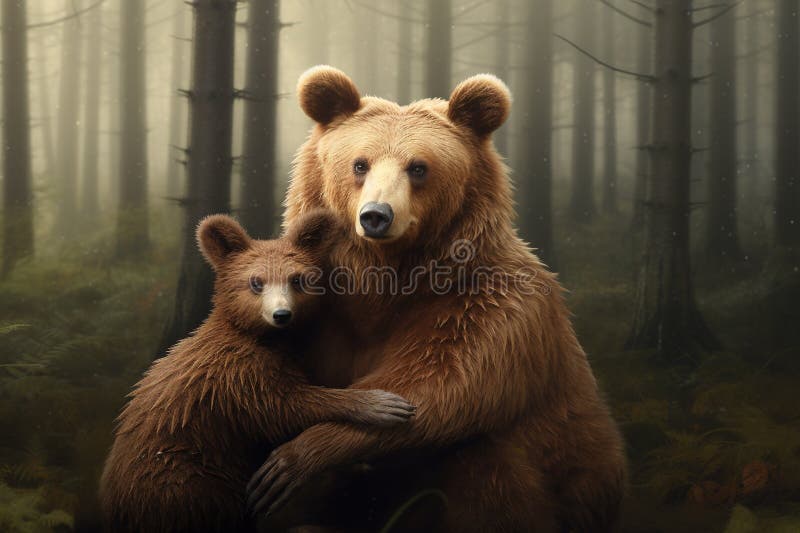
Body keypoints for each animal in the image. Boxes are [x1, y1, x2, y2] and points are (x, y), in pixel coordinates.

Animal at [99, 210, 416, 533]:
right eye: (255, 282)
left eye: (297, 279)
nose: (281, 314)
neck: (260, 340)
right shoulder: (237, 380)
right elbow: (288, 408)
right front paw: (380, 404)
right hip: (185, 486)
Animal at [246, 66, 627, 532]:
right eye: (359, 164)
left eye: (418, 167)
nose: (376, 215)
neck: (384, 282)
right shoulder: (320, 314)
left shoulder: (486, 308)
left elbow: (439, 384)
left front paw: (294, 458)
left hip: (574, 467)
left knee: (492, 470)